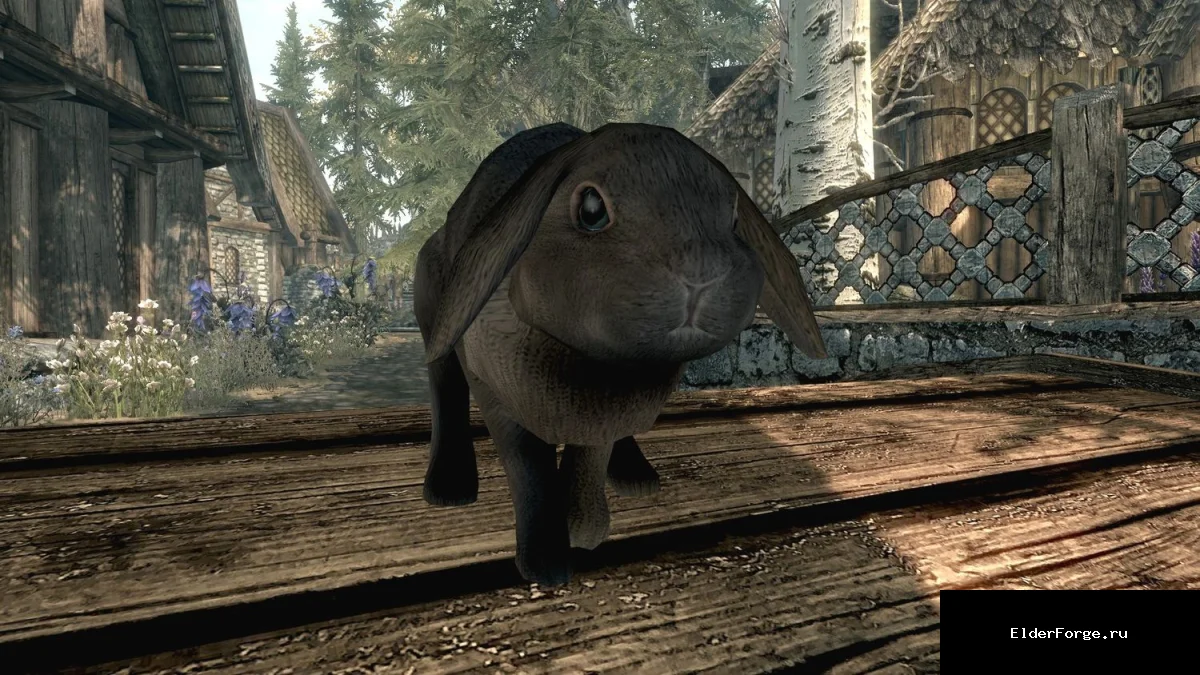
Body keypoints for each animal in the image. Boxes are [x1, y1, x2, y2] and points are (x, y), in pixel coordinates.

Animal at [414, 122, 826, 586]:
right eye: (591, 209)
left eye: (733, 216)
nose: (701, 273)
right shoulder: (497, 396)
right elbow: (529, 471)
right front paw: (548, 563)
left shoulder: (602, 420)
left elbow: (591, 456)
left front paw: (585, 528)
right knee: (444, 388)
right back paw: (449, 488)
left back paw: (635, 476)